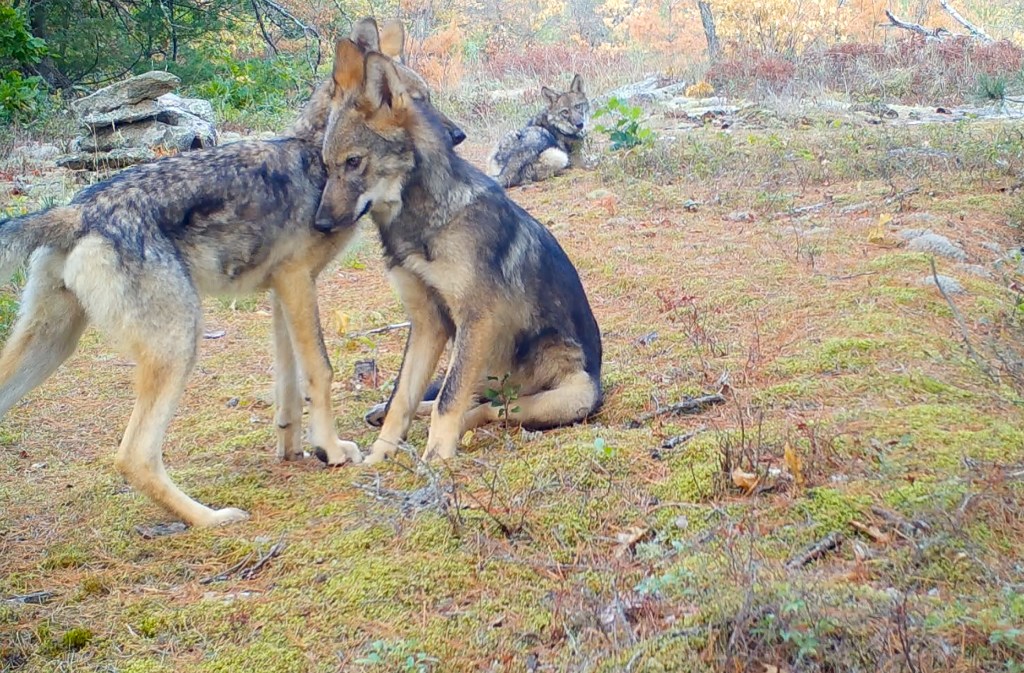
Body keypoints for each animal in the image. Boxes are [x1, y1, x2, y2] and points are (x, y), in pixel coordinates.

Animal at [0, 18, 465, 527]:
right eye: (413, 100)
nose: (458, 136)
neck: (315, 158)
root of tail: (75, 210)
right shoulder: (298, 281)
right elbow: (320, 372)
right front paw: (333, 450)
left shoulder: (281, 292)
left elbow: (288, 387)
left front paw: (295, 449)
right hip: (178, 344)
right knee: (134, 457)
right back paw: (210, 519)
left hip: (52, 346)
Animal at [316, 43, 603, 464]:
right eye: (327, 167)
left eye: (354, 162)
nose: (319, 223)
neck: (424, 224)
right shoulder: (427, 323)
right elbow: (403, 396)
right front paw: (379, 457)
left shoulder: (476, 319)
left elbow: (448, 400)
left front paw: (436, 458)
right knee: (461, 400)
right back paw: (380, 413)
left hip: (564, 397)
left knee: (486, 409)